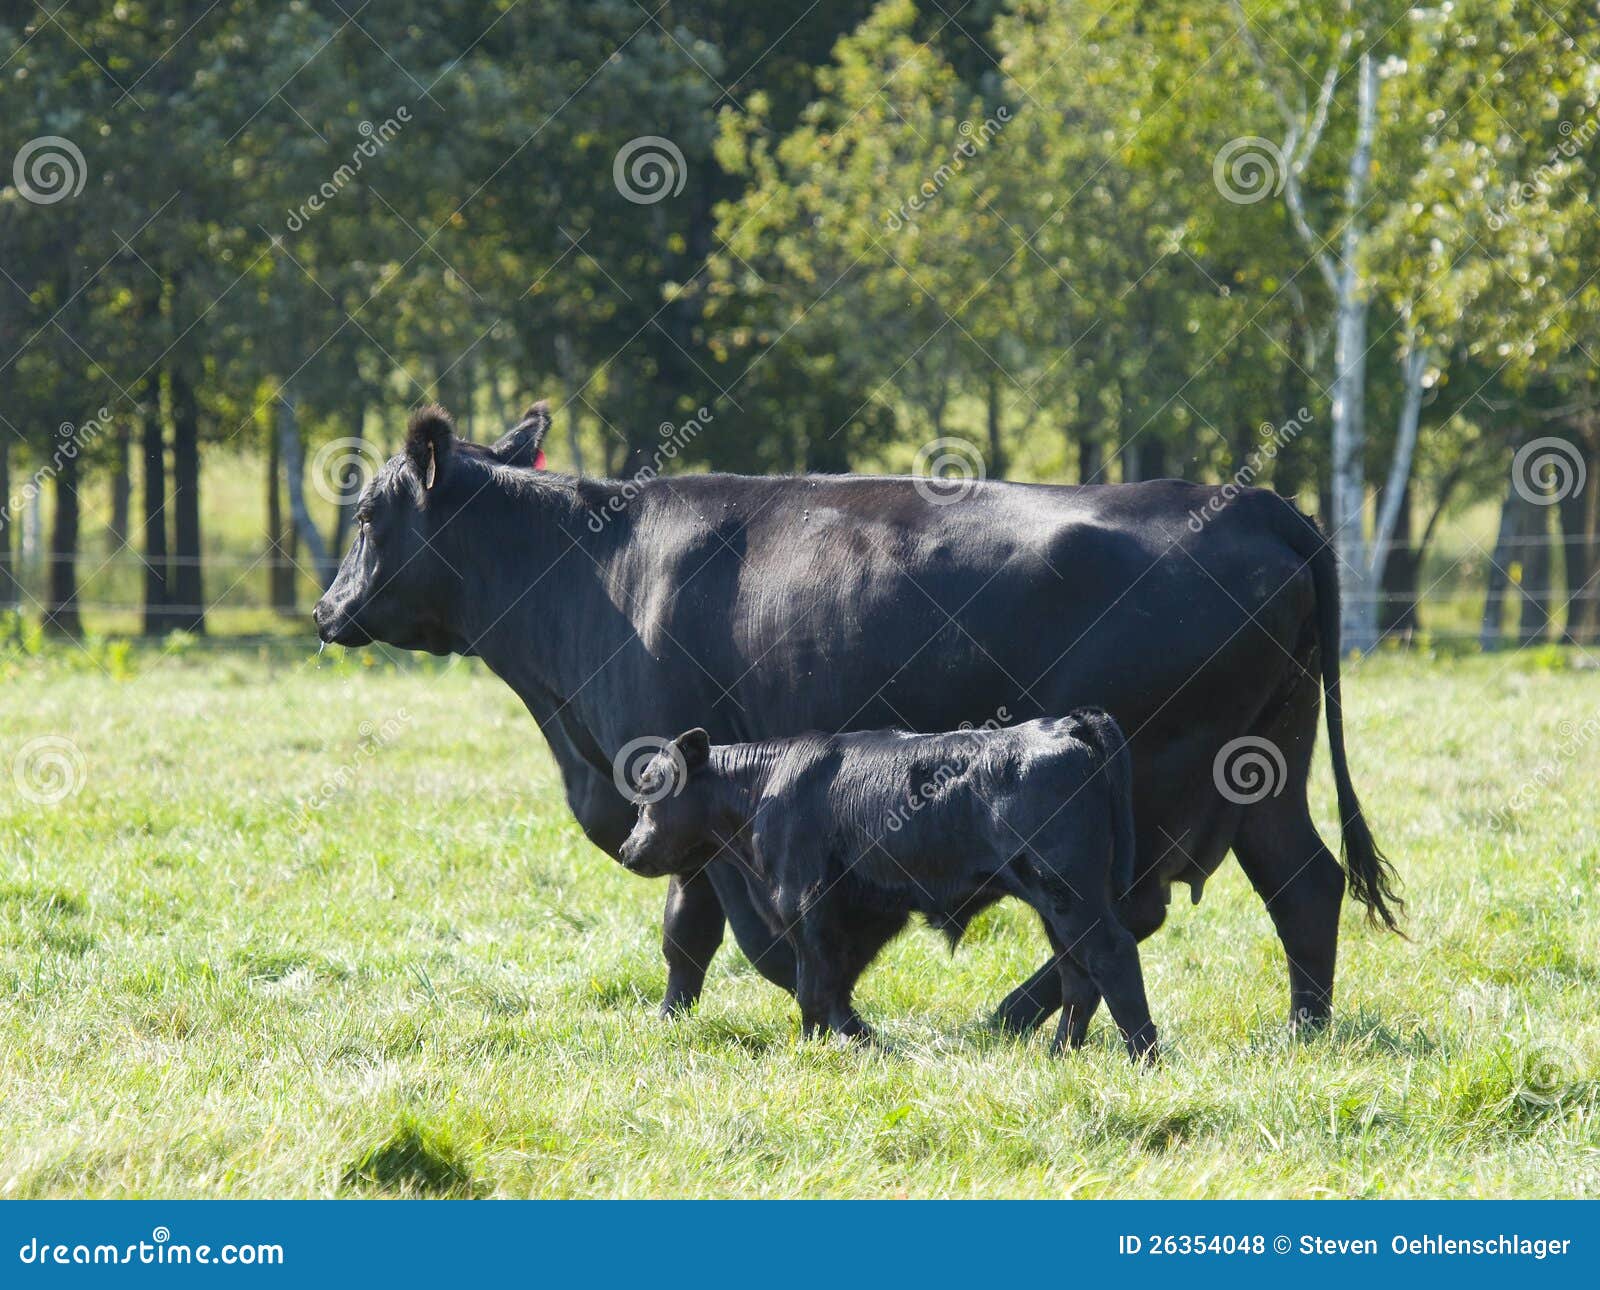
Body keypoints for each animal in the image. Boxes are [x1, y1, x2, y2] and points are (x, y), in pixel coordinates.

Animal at [615, 713, 1158, 1062]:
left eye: (650, 795)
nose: (627, 850)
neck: (766, 785)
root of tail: (1065, 723)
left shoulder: (804, 904)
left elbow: (814, 988)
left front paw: (815, 1053)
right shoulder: (861, 914)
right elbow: (835, 987)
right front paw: (862, 1042)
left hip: (1069, 891)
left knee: (1111, 954)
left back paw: (1144, 1057)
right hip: (1056, 903)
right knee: (1077, 975)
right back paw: (1059, 1056)